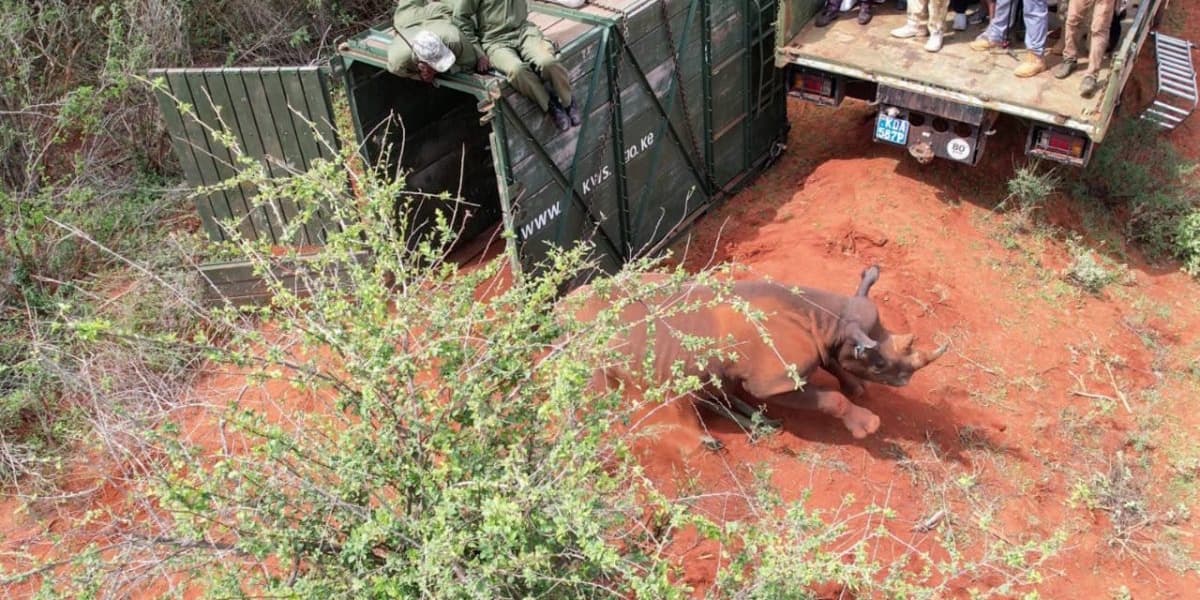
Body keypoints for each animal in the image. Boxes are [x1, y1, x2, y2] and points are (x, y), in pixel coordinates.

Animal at [567, 265, 947, 441]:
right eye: (880, 364)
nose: (906, 381)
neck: (828, 321)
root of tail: (561, 308)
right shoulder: (773, 381)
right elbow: (830, 400)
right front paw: (867, 426)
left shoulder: (833, 339)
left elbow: (835, 364)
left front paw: (858, 389)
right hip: (588, 346)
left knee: (709, 384)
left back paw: (760, 426)